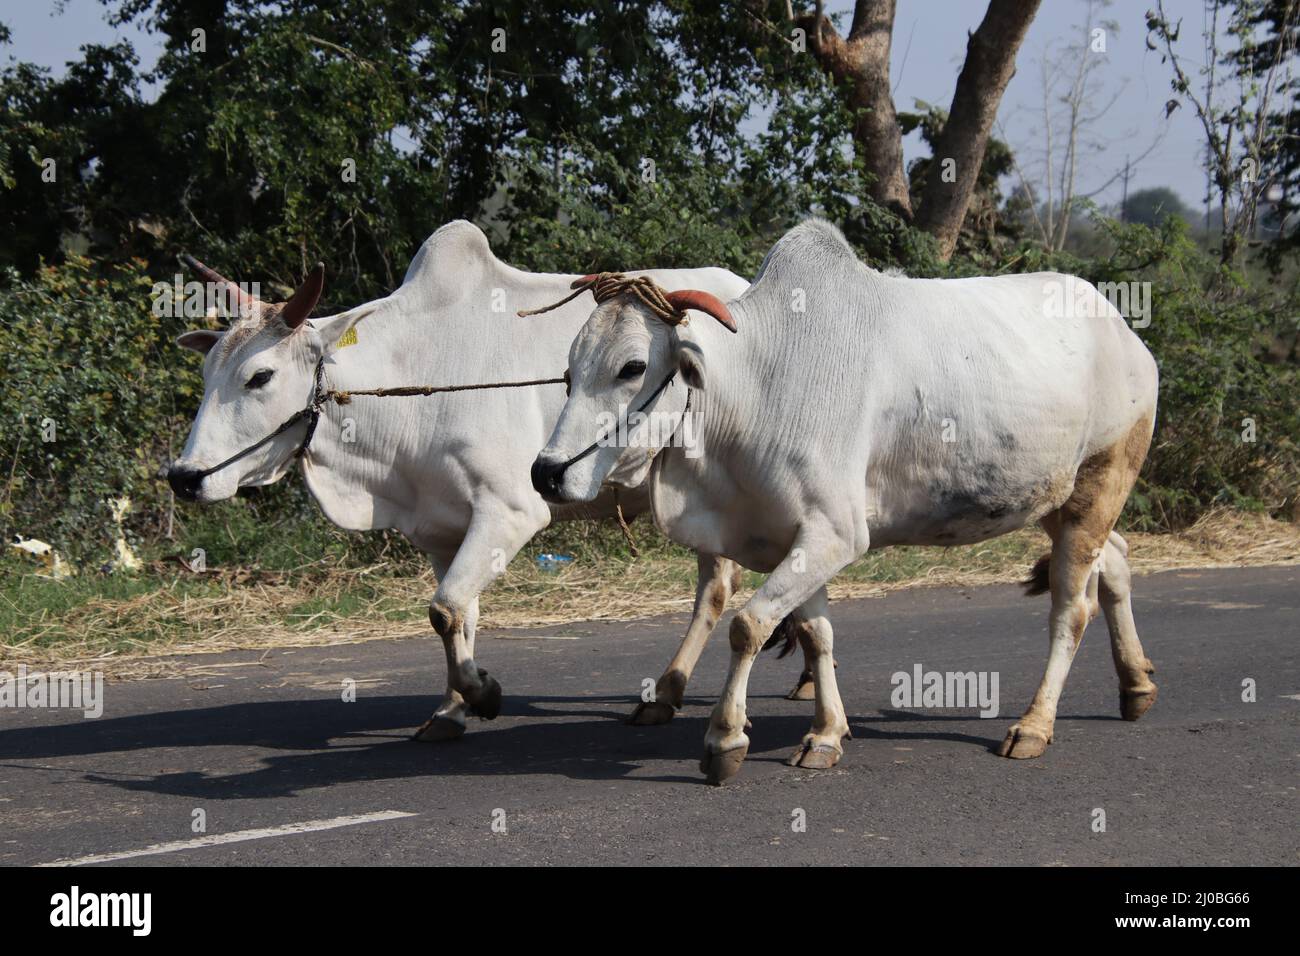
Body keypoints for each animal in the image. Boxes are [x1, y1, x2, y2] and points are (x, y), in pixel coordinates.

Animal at [168, 219, 767, 740]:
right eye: (207, 373)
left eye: (259, 376)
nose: (183, 477)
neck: (412, 383)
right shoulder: (442, 530)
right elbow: (458, 615)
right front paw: (451, 709)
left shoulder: (510, 512)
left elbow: (446, 608)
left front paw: (483, 694)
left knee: (715, 591)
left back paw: (666, 694)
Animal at [531, 218, 1160, 785]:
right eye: (569, 371)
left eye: (633, 367)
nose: (547, 473)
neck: (753, 386)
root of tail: (1125, 335)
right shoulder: (799, 535)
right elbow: (815, 635)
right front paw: (827, 734)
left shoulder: (834, 533)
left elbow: (748, 625)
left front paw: (725, 739)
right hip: (1059, 501)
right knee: (1116, 560)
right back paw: (1136, 684)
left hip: (1098, 486)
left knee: (1071, 608)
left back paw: (1034, 724)